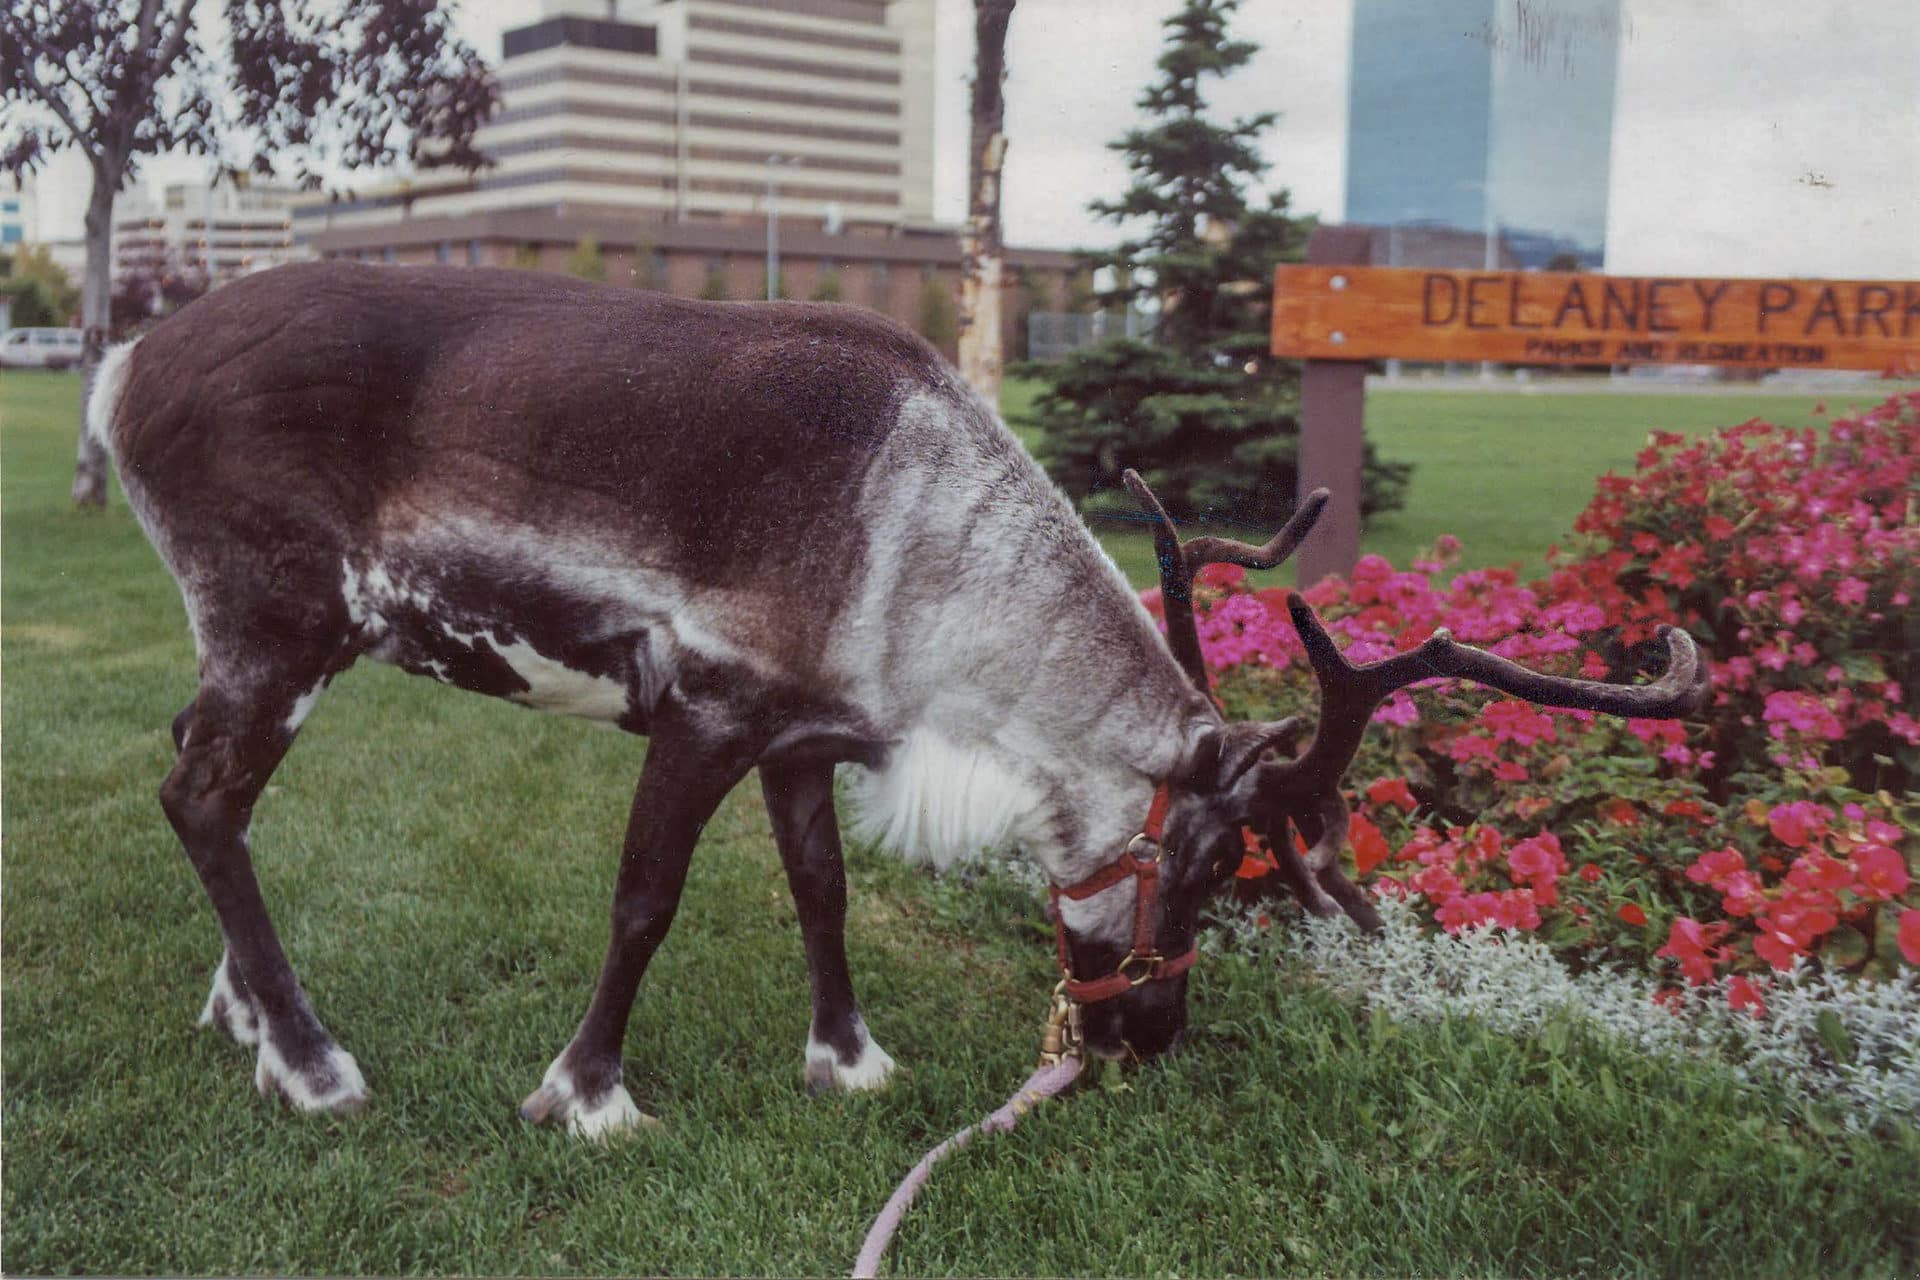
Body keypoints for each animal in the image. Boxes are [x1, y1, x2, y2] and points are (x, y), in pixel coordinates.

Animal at [89, 261, 1708, 1136]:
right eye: (1210, 867)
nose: (1151, 1035)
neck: (934, 575)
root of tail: (118, 366)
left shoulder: (804, 738)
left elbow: (822, 886)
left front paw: (851, 1059)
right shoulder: (708, 709)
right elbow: (644, 900)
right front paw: (588, 1092)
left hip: (264, 639)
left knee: (195, 771)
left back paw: (247, 1012)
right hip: (285, 619)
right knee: (197, 790)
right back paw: (313, 1064)